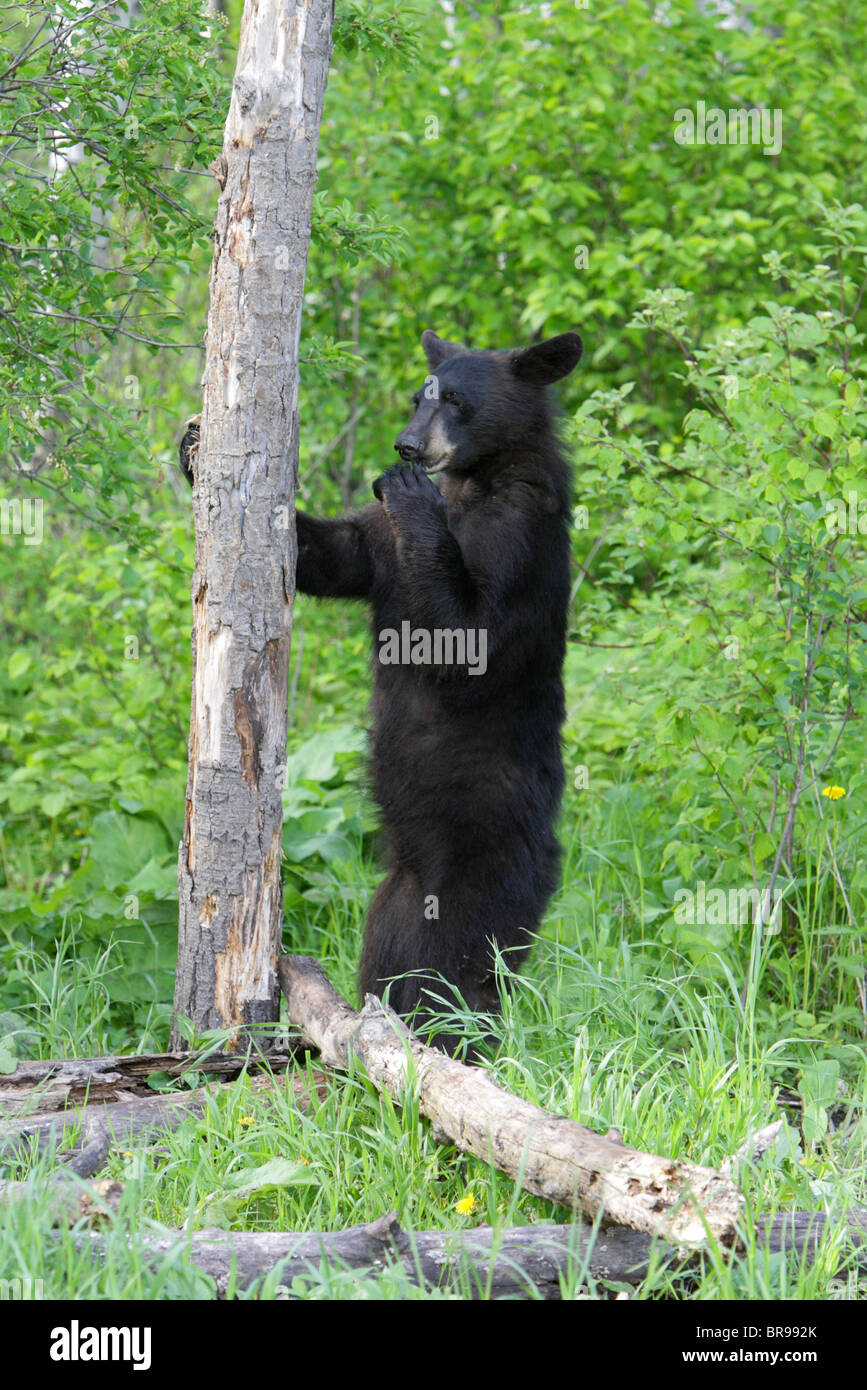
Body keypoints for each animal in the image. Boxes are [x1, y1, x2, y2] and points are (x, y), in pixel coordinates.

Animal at [180, 327, 583, 1053]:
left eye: (456, 401)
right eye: (418, 397)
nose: (407, 446)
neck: (472, 483)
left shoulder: (518, 538)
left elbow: (467, 637)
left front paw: (410, 492)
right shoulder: (379, 545)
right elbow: (334, 553)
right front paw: (195, 444)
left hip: (481, 844)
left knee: (465, 955)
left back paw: (447, 1039)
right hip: (404, 877)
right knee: (396, 939)